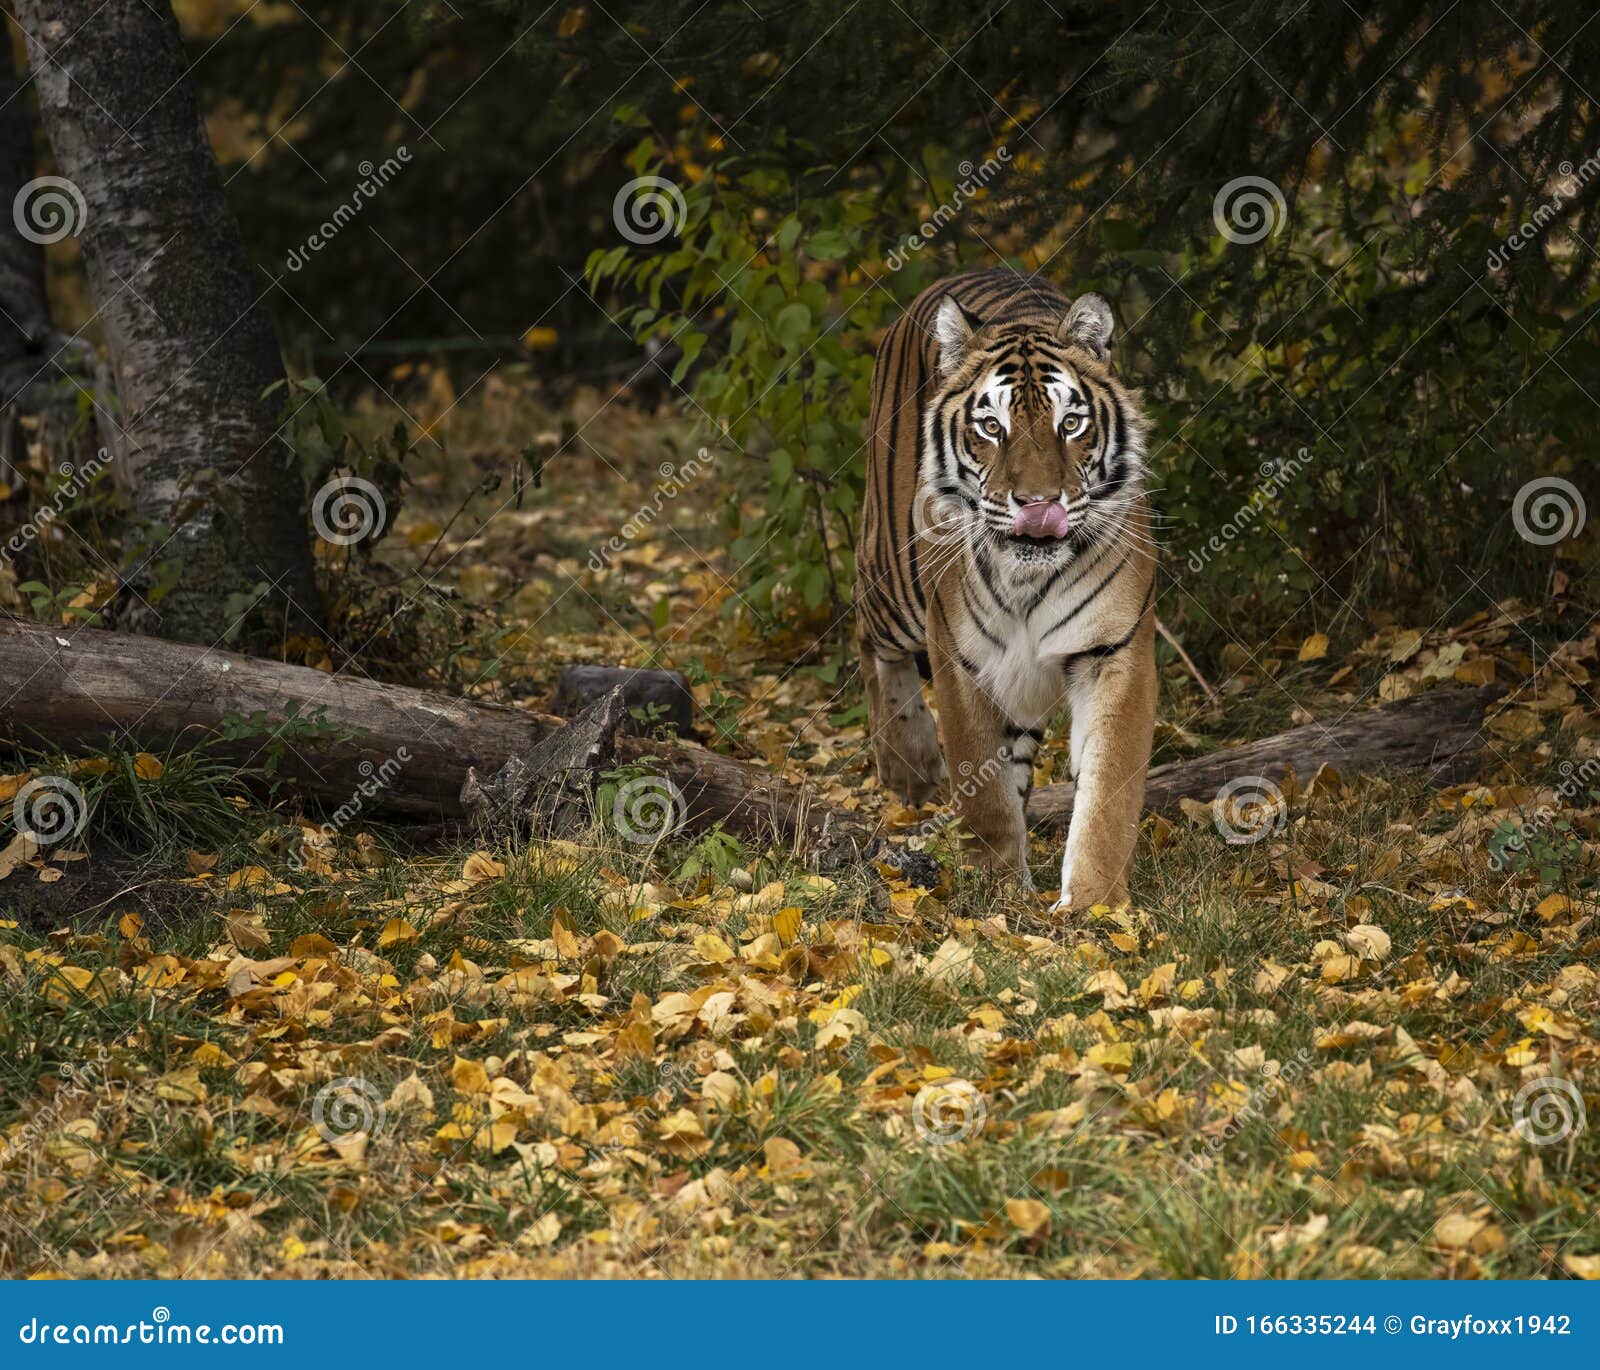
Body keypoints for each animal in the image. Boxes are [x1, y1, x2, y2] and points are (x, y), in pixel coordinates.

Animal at [854, 267, 1156, 910]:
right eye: (992, 427)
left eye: (1071, 423)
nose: (1039, 505)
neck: (1027, 577)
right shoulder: (959, 656)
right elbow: (982, 788)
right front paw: (997, 887)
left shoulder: (1114, 652)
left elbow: (1107, 794)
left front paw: (1093, 906)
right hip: (891, 581)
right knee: (868, 634)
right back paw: (909, 765)